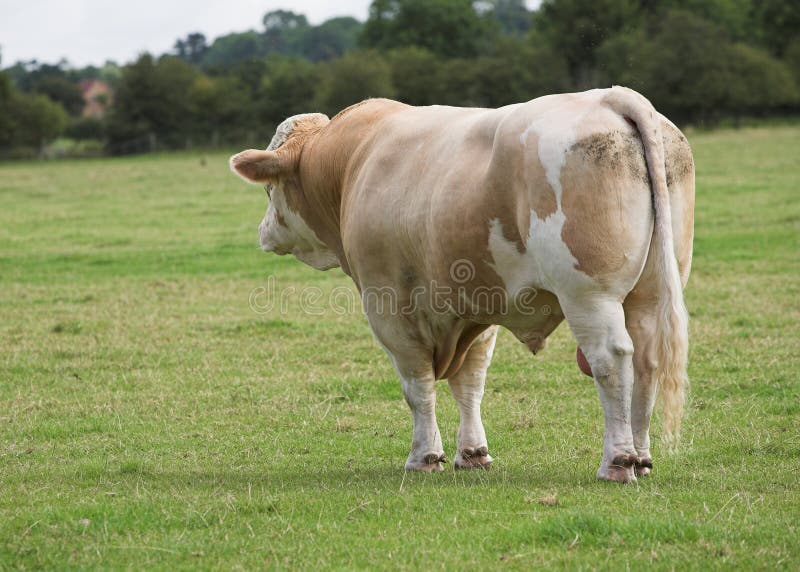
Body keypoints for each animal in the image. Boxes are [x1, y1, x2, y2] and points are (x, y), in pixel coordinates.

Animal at [230, 86, 694, 483]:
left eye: (269, 190)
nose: (262, 231)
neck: (351, 164)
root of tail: (610, 96)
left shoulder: (387, 304)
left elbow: (416, 385)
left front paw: (424, 456)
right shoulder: (475, 304)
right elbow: (470, 380)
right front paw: (472, 454)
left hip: (589, 295)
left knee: (611, 360)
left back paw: (617, 461)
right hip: (651, 292)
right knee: (648, 362)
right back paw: (642, 457)